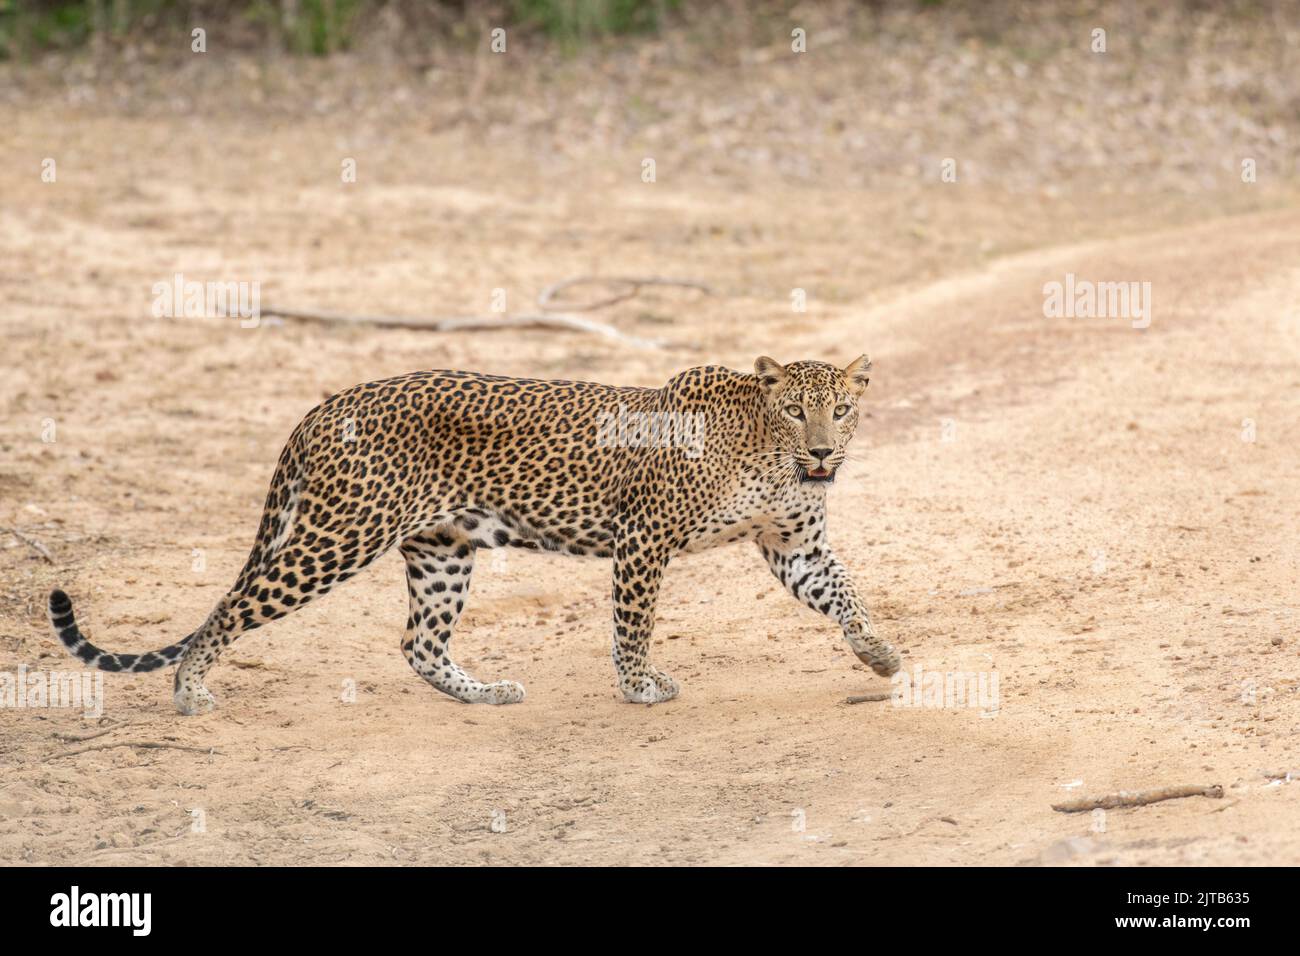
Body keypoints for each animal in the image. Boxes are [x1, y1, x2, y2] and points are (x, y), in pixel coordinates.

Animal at [48, 355, 901, 715]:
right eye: (795, 410)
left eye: (842, 409)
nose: (823, 453)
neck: (767, 451)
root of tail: (321, 408)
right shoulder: (644, 538)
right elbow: (633, 625)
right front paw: (637, 686)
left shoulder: (793, 546)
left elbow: (843, 592)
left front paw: (879, 655)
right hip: (337, 535)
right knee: (230, 607)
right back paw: (190, 691)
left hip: (442, 549)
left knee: (418, 642)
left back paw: (486, 693)